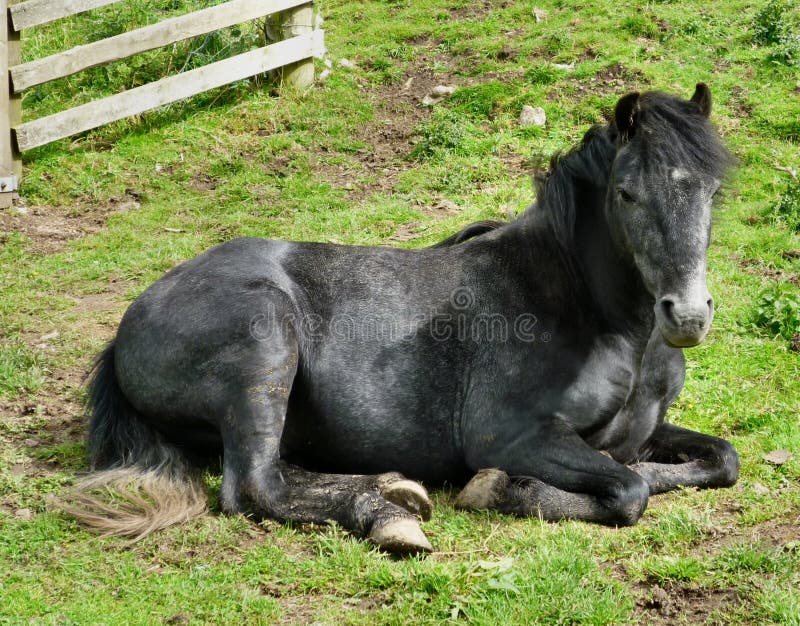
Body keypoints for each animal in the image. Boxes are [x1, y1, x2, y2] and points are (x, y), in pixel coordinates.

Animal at [63, 84, 739, 554]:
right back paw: (388, 516)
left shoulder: (642, 431)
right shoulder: (511, 437)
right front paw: (503, 489)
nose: (686, 315)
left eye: (712, 190)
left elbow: (718, 461)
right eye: (627, 193)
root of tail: (131, 321)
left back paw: (388, 488)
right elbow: (629, 491)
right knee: (255, 486)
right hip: (264, 345)